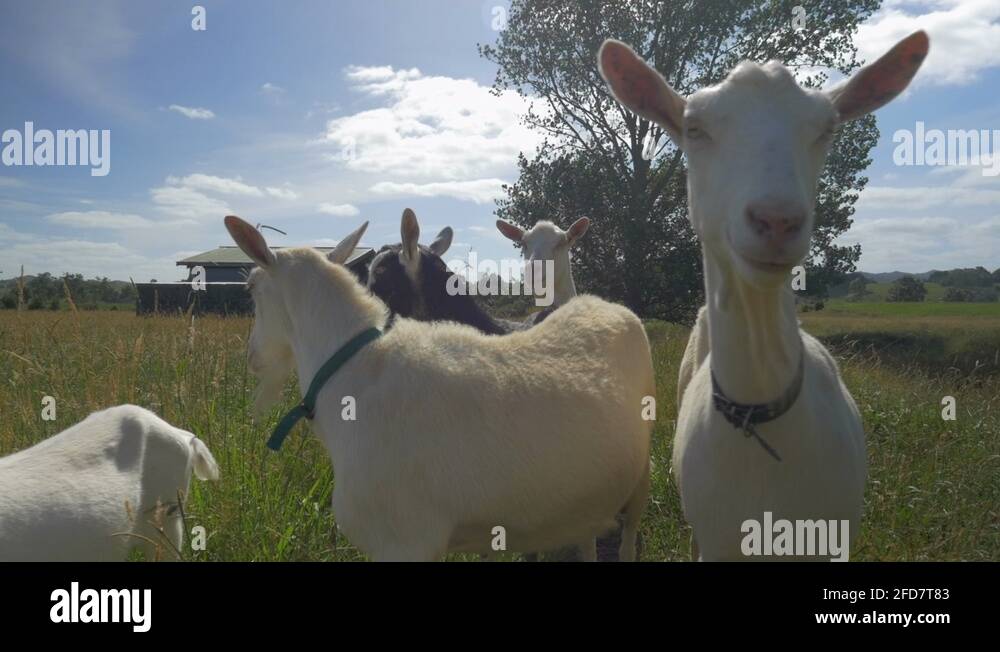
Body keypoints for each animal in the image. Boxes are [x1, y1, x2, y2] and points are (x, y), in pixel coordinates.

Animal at [226, 214, 654, 561]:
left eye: (250, 287)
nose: (251, 356)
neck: (355, 372)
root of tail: (603, 304)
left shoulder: (405, 540)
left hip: (641, 473)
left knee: (629, 536)